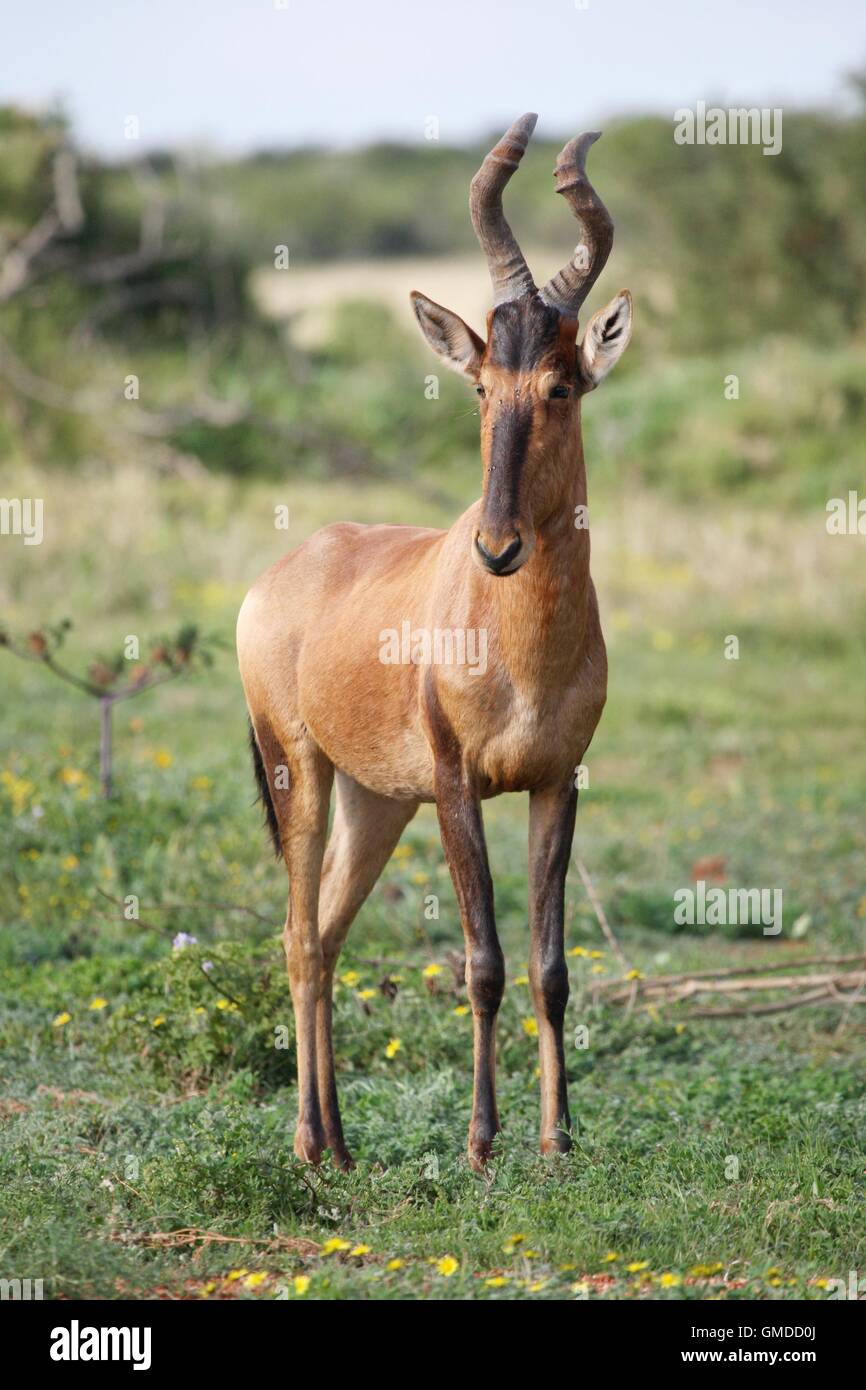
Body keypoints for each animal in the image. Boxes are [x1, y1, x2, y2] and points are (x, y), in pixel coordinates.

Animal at [237, 113, 633, 1171]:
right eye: (481, 384)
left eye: (564, 384)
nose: (498, 547)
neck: (523, 644)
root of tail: (283, 572)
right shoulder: (458, 784)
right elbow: (483, 962)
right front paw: (483, 1143)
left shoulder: (556, 782)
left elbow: (548, 966)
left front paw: (559, 1142)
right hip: (300, 772)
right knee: (298, 935)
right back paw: (307, 1144)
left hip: (377, 799)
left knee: (331, 930)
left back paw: (339, 1145)